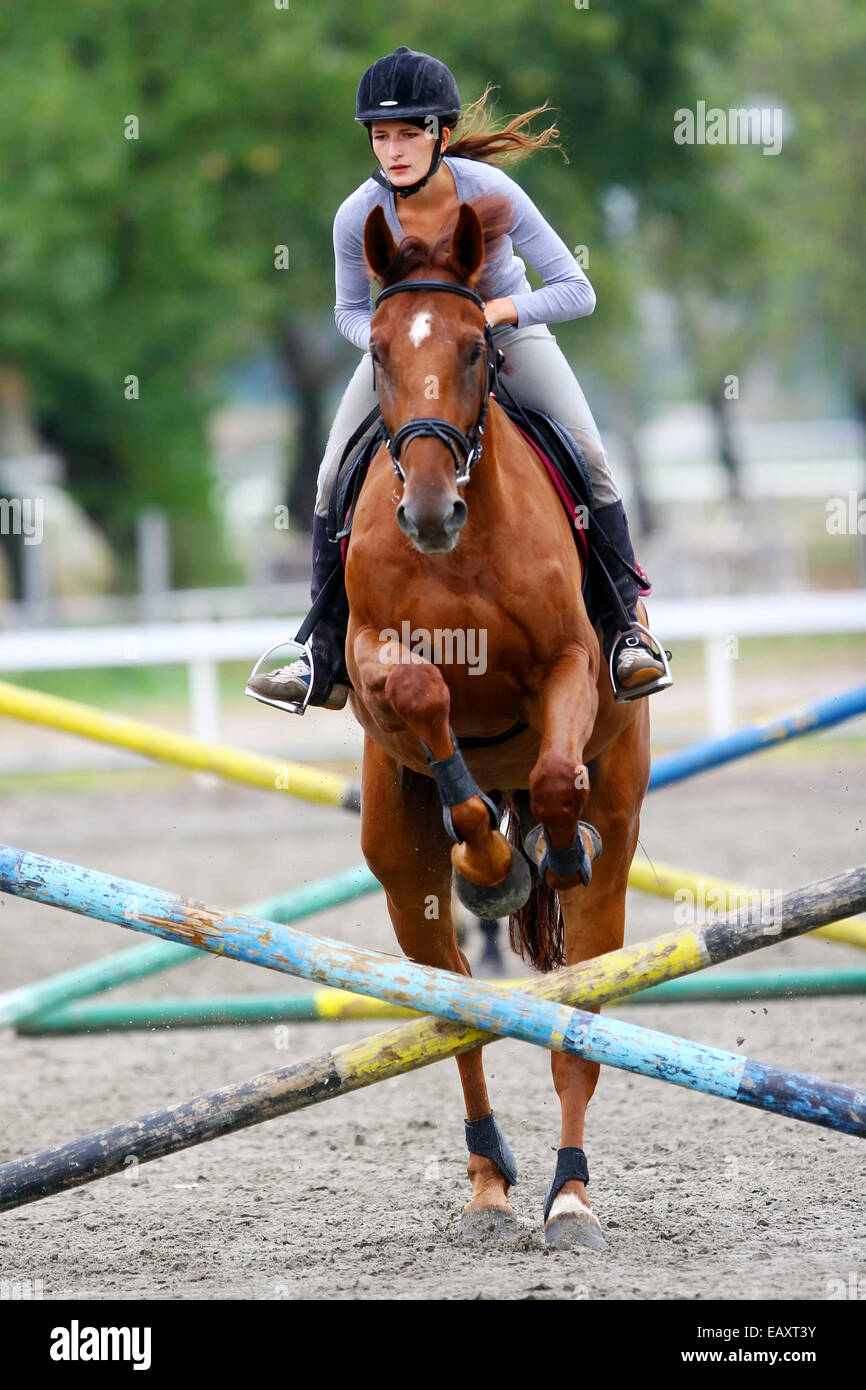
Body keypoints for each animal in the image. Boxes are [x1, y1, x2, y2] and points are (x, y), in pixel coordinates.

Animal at [343, 192, 651, 1247]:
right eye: (379, 350)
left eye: (479, 347)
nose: (430, 510)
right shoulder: (370, 655)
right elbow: (424, 696)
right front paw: (488, 863)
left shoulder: (569, 668)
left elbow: (556, 775)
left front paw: (539, 856)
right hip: (403, 876)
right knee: (457, 1012)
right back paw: (489, 1182)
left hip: (621, 840)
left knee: (576, 1022)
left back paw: (570, 1194)